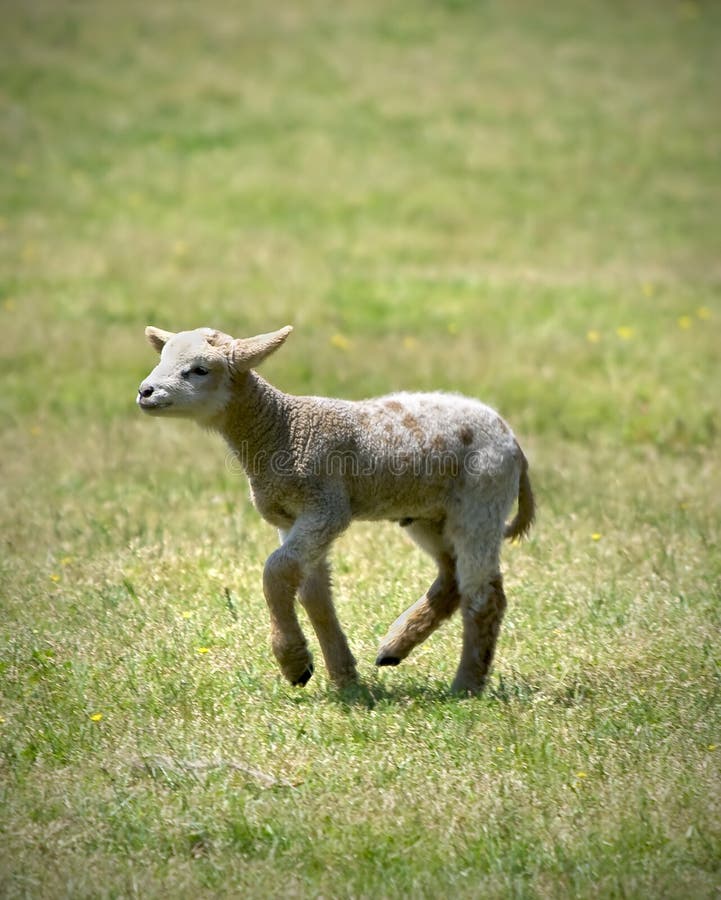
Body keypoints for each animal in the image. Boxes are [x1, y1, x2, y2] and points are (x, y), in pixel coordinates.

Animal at [137, 324, 535, 695]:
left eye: (199, 370)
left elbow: (276, 572)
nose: (145, 391)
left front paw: (293, 662)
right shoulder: (291, 517)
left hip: (482, 499)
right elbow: (313, 595)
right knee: (452, 577)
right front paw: (344, 679)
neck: (283, 428)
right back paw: (394, 647)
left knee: (484, 595)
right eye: (161, 359)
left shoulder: (325, 507)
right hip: (430, 513)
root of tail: (513, 440)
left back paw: (466, 685)